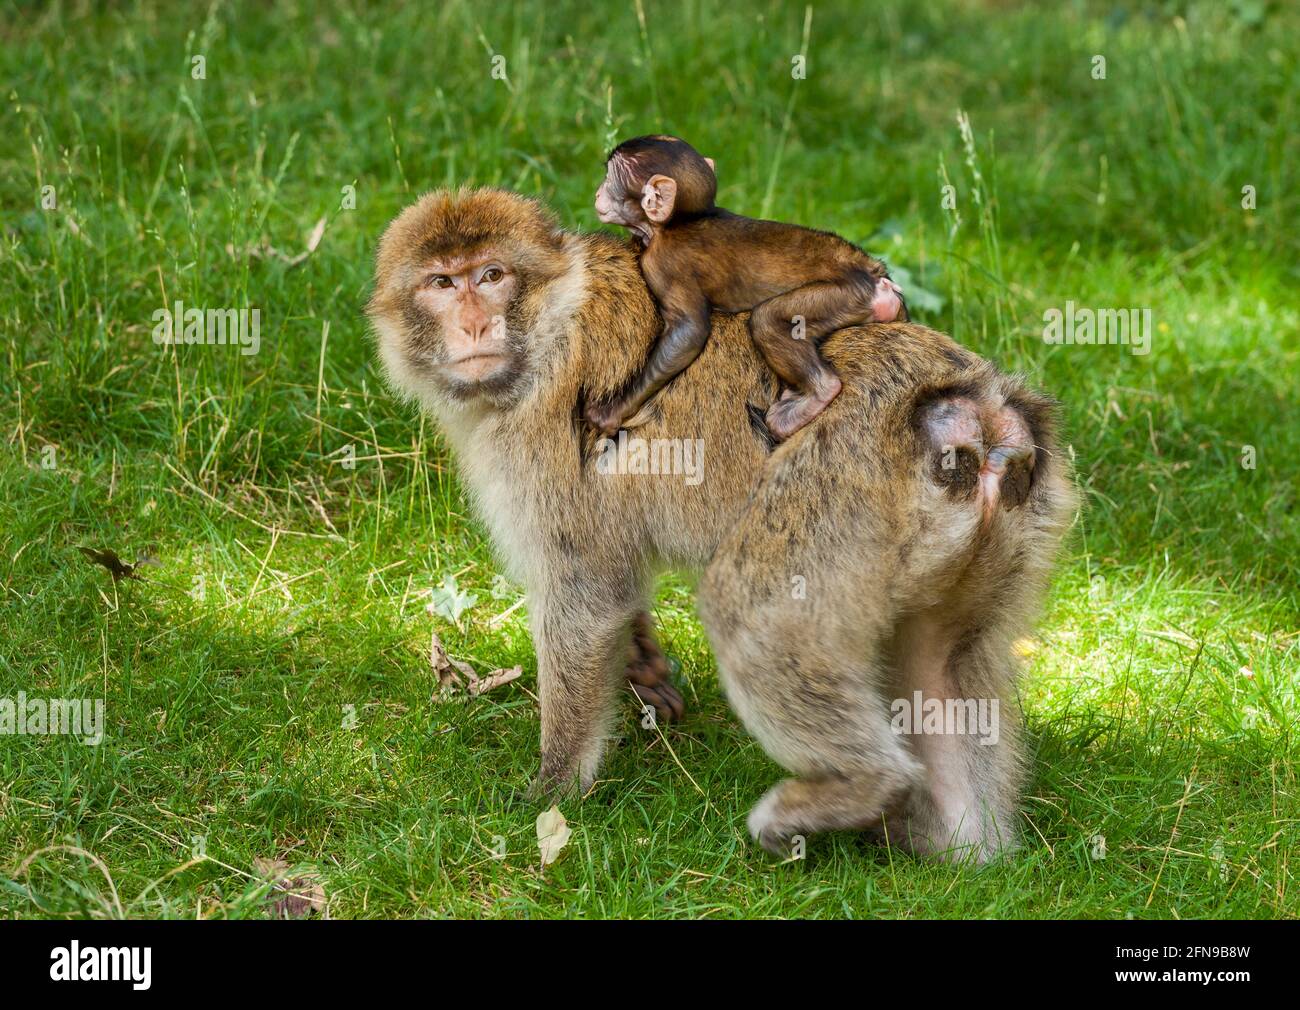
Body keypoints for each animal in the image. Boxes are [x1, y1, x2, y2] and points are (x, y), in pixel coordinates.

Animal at [369, 187, 1076, 861]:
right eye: (441, 282)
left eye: (491, 275)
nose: (473, 322)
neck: (550, 326)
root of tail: (974, 408)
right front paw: (643, 663)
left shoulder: (540, 443)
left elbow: (587, 599)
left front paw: (554, 787)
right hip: (1005, 535)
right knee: (943, 664)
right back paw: (964, 848)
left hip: (839, 486)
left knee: (749, 605)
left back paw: (859, 785)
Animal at [587, 135, 908, 441]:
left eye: (609, 178)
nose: (598, 192)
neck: (677, 221)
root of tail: (878, 277)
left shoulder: (663, 264)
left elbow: (688, 332)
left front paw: (612, 411)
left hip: (848, 295)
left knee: (770, 320)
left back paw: (818, 393)